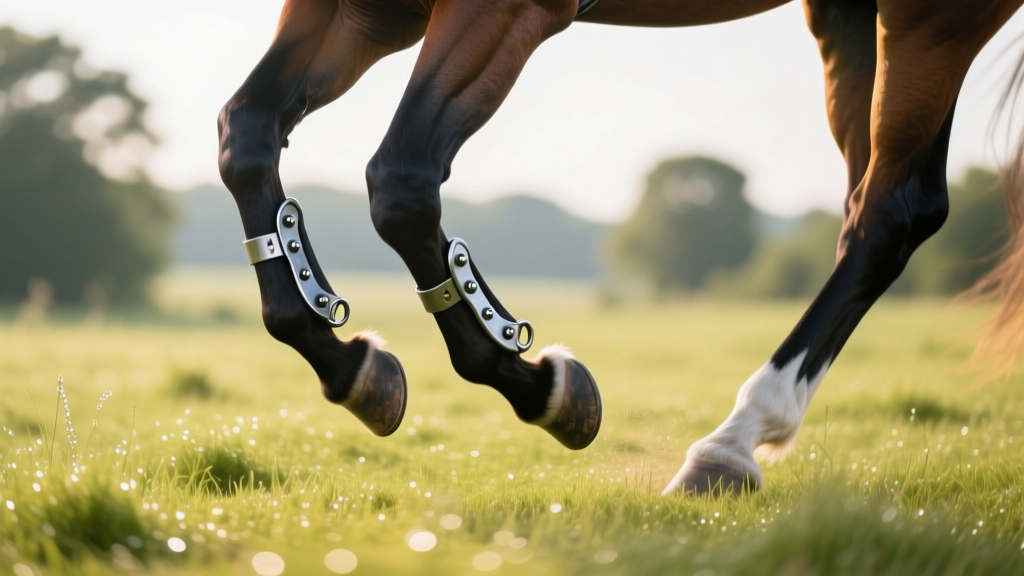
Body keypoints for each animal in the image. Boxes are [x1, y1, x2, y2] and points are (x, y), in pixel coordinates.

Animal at [217, 0, 1024, 496]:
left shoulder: (504, 8)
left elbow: (401, 185)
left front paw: (537, 384)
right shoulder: (355, 9)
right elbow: (246, 138)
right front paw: (347, 364)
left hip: (933, 17)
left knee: (892, 211)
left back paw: (729, 443)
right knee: (876, 202)